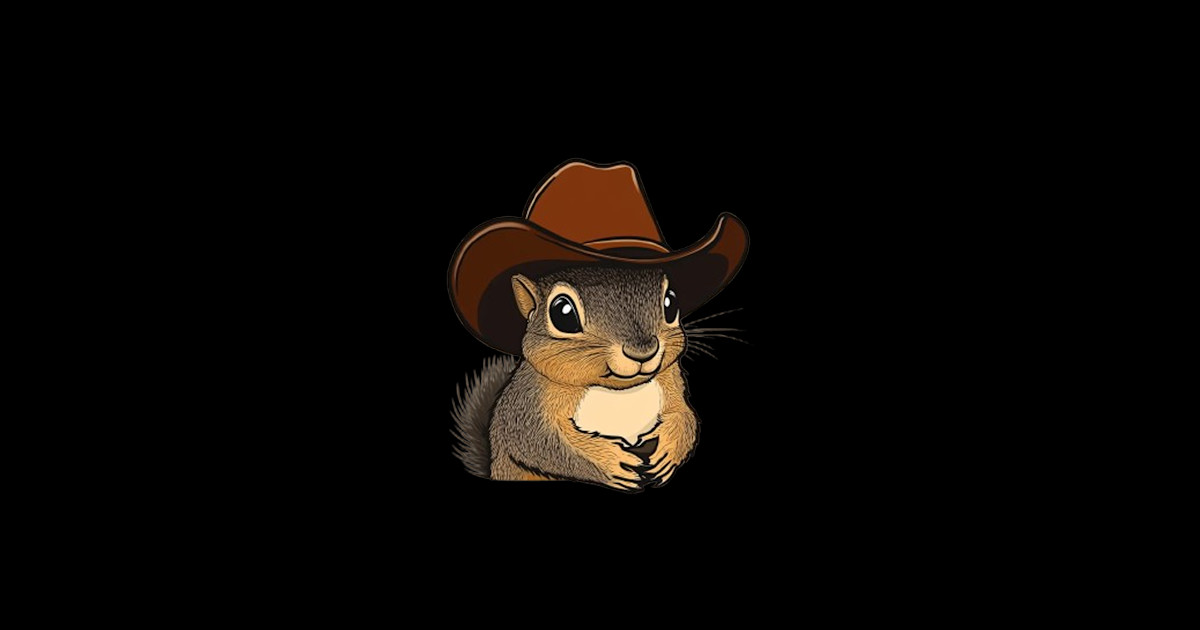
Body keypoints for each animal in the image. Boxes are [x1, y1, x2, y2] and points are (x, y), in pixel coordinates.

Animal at [452, 265, 698, 491]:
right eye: (563, 313)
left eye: (670, 302)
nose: (643, 352)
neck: (619, 389)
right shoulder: (526, 401)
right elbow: (540, 440)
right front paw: (611, 461)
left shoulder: (671, 381)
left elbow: (682, 415)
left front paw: (667, 451)